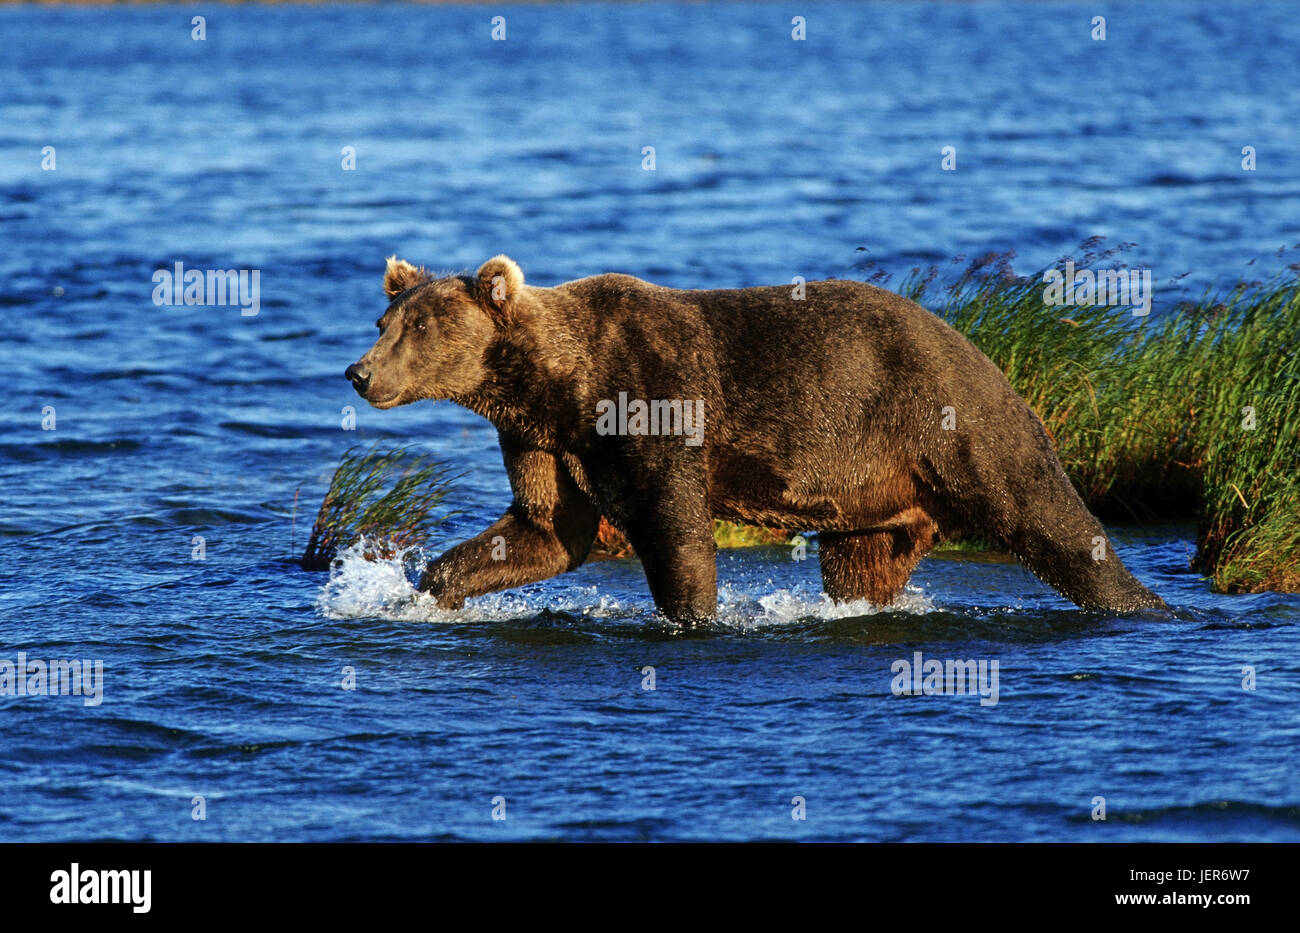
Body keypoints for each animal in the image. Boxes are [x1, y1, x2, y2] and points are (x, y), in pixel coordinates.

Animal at [345, 255, 1167, 623]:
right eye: (385, 321)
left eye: (422, 327)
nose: (359, 372)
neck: (559, 382)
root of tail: (983, 350)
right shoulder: (544, 439)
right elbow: (546, 530)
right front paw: (430, 585)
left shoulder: (651, 398)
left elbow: (673, 524)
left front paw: (693, 614)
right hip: (872, 492)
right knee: (864, 565)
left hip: (954, 420)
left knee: (1049, 518)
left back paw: (1146, 605)